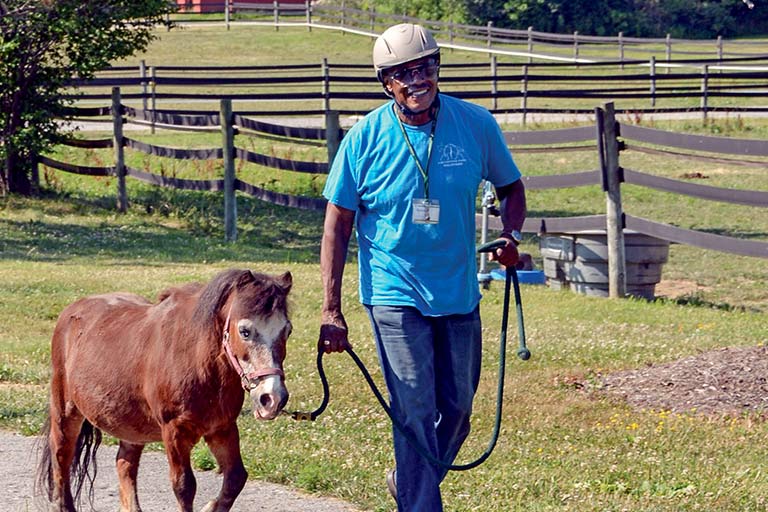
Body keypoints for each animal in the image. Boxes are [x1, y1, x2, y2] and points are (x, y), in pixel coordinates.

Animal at [36, 268, 293, 512]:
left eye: (287, 331)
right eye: (245, 331)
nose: (272, 398)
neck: (196, 359)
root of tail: (72, 311)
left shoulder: (222, 428)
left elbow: (236, 478)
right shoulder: (174, 431)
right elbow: (184, 486)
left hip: (131, 426)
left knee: (124, 464)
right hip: (66, 411)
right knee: (62, 456)